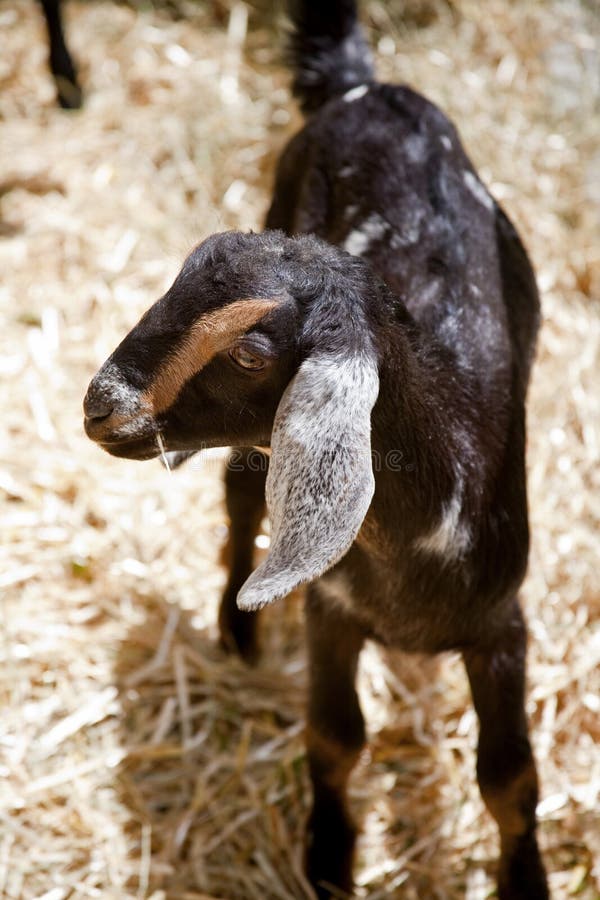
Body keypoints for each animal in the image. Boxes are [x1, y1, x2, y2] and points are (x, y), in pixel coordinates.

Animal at [83, 1, 549, 897]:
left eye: (250, 353)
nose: (101, 405)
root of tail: (371, 86)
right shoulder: (331, 609)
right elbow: (335, 738)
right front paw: (328, 858)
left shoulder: (501, 624)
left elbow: (510, 779)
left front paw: (527, 879)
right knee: (239, 499)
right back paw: (236, 632)